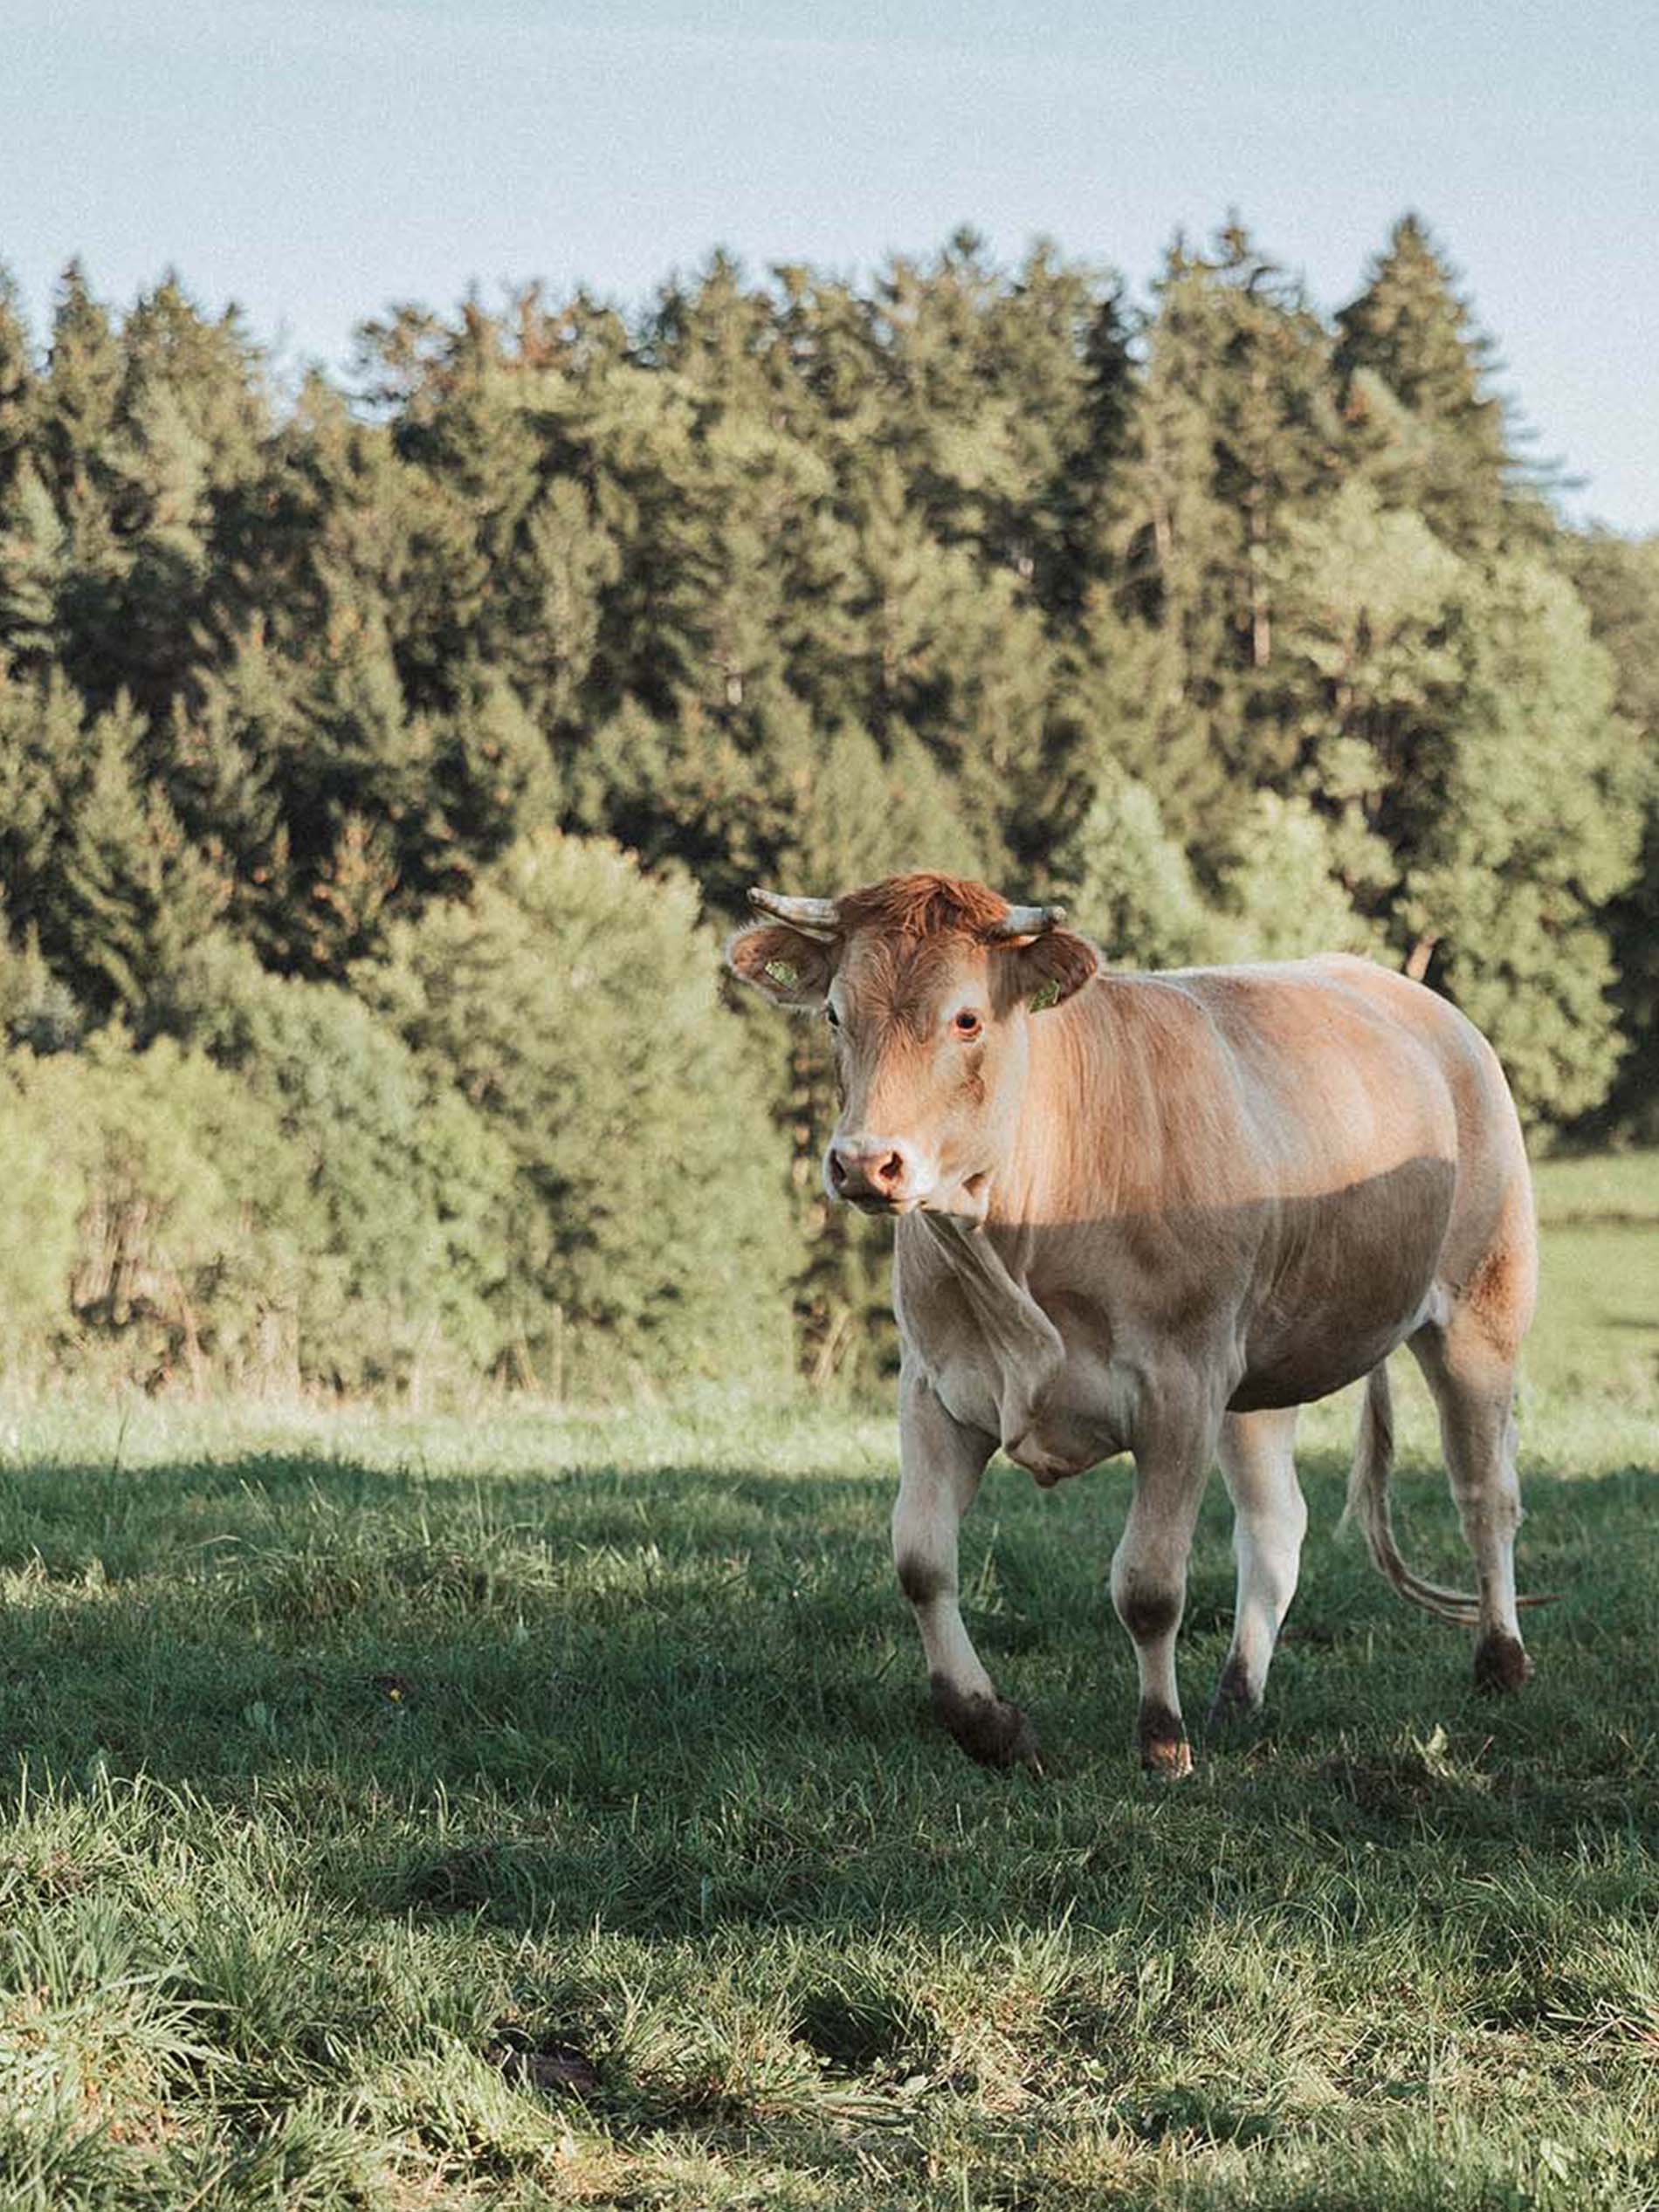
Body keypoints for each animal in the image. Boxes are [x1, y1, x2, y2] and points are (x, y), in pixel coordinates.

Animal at [725, 871, 1548, 1769]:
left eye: (967, 1017)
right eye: (836, 1014)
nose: (865, 1163)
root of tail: (1414, 998)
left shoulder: (1179, 1387)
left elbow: (1149, 1584)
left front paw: (1161, 1740)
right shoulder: (936, 1387)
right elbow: (920, 1560)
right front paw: (986, 1723)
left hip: (1480, 1309)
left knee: (1485, 1492)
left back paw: (1502, 1662)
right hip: (1258, 1371)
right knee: (1275, 1525)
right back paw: (1237, 1696)